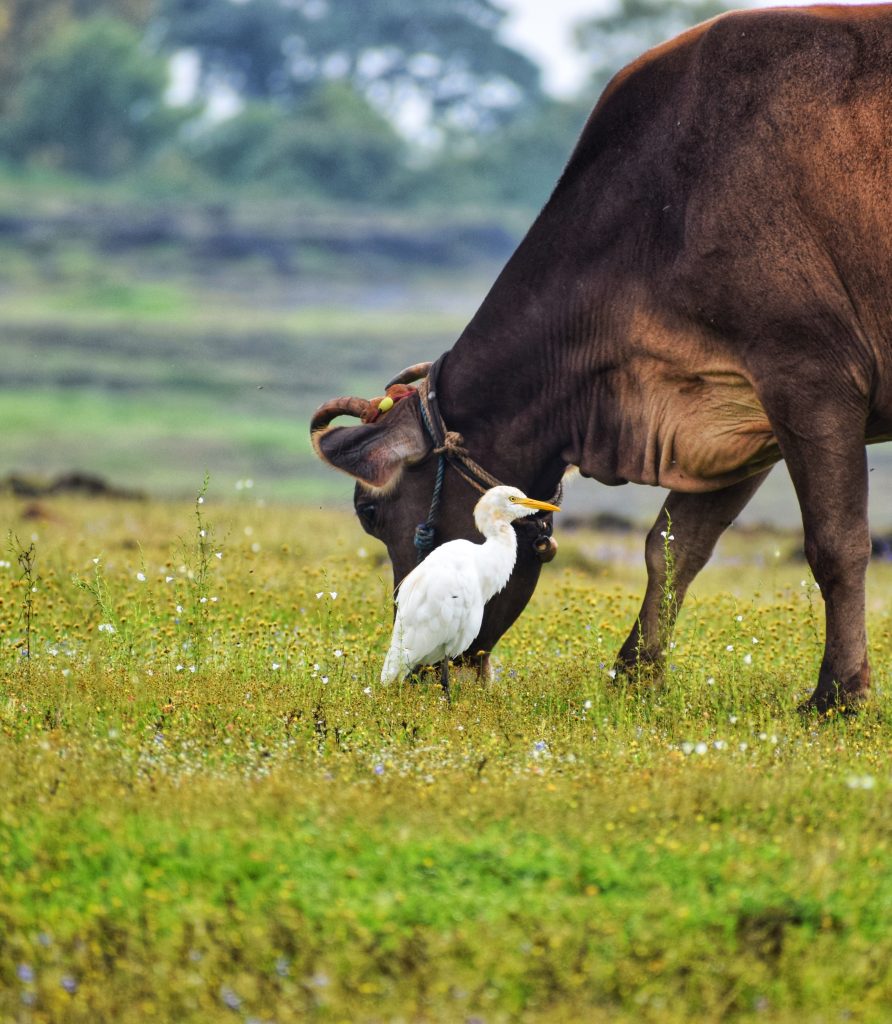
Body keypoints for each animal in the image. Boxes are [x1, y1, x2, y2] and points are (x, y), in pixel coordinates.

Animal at [311, 4, 892, 711]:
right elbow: (674, 547)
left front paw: (838, 693)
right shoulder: (739, 412)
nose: (423, 667)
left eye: (370, 513)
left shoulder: (809, 377)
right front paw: (637, 672)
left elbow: (837, 544)